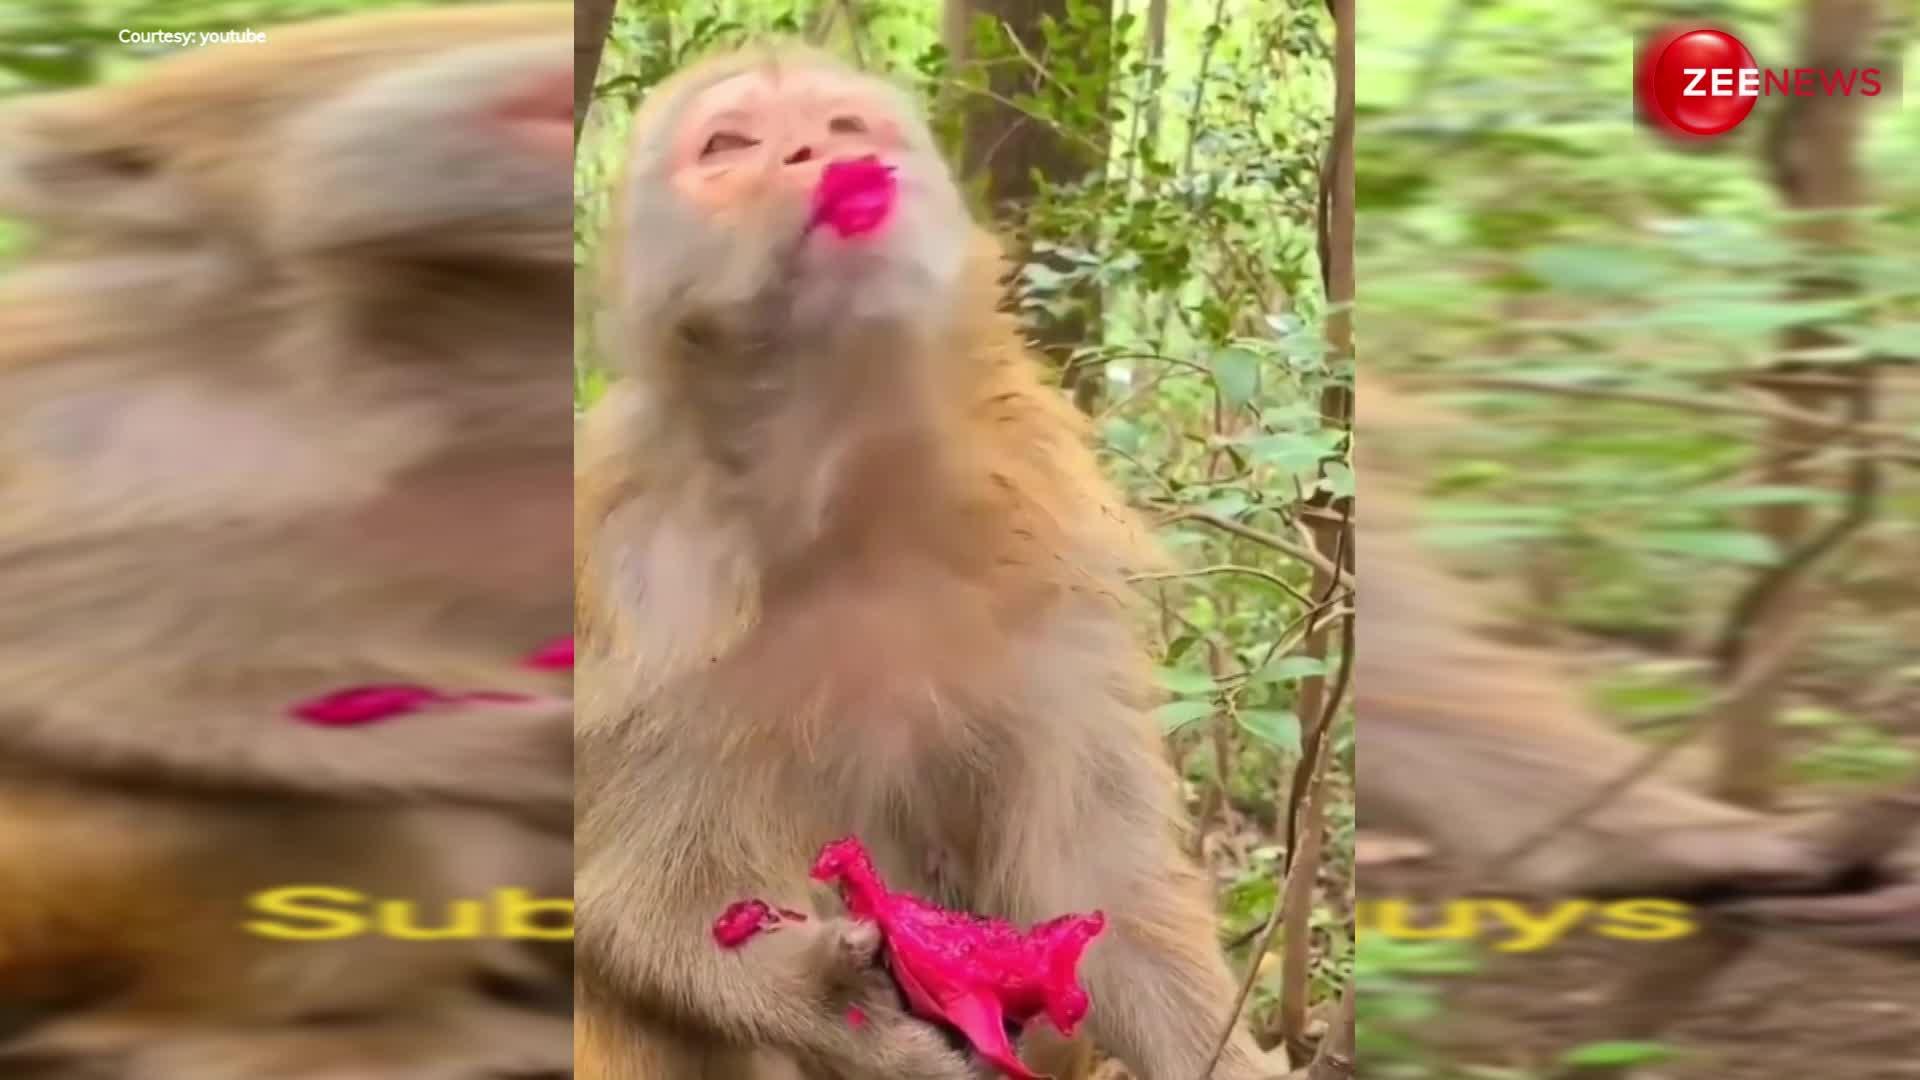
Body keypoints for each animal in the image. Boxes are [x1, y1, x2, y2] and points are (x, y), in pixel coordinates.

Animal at [573, 43, 1293, 1080]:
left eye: (843, 125)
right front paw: (841, 1009)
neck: (846, 483)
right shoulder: (639, 580)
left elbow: (1100, 890)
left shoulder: (1048, 539)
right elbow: (622, 903)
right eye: (730, 145)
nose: (819, 156)